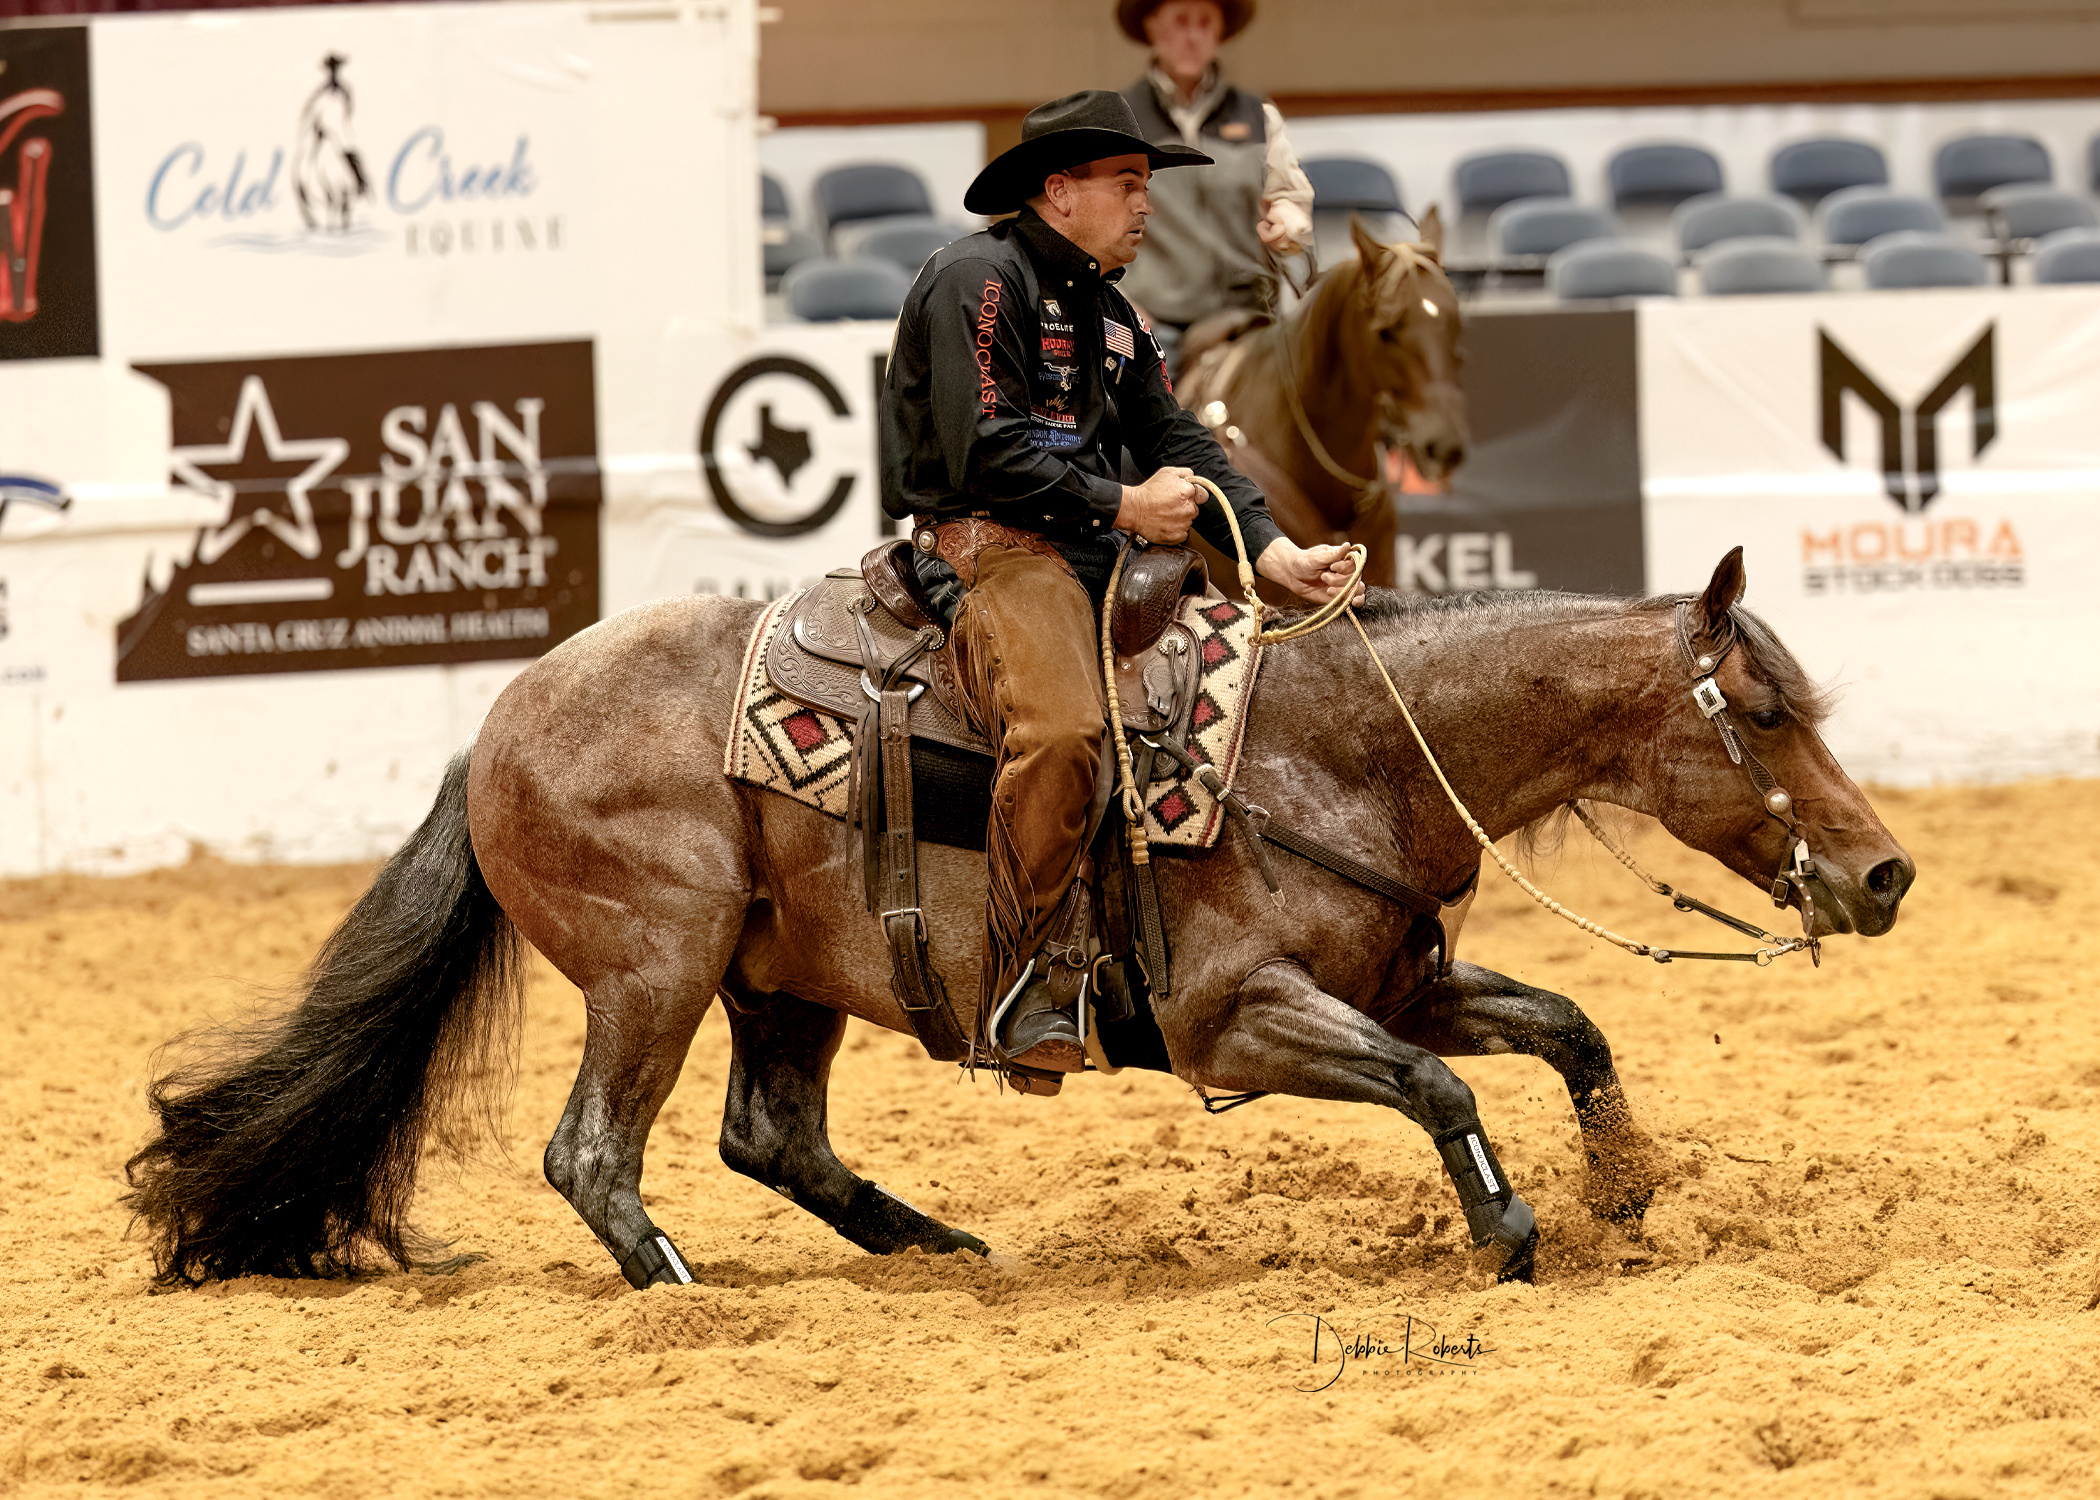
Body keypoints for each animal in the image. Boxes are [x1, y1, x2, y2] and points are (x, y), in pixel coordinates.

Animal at [124, 547, 1915, 1291]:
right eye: (1762, 712)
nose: (1886, 873)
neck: (1328, 743)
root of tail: (499, 716)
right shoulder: (1233, 1021)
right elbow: (1446, 1088)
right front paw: (1511, 1232)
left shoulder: (1405, 976)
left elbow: (1565, 1028)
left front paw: (1627, 1187)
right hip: (657, 964)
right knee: (594, 1154)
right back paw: (684, 1287)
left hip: (783, 975)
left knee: (773, 1136)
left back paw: (939, 1250)